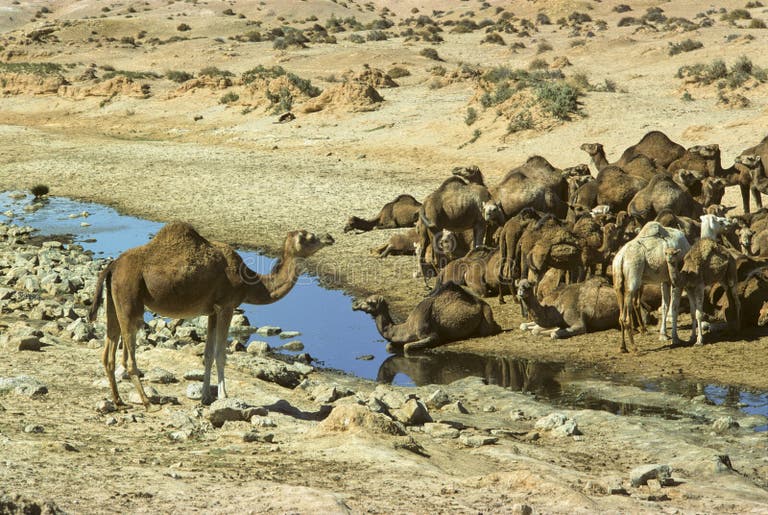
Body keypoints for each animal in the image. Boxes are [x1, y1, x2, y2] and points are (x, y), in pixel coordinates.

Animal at [89, 222, 334, 407]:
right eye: (309, 236)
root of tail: (112, 266)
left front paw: (206, 397)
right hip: (129, 301)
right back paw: (147, 402)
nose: (330, 237)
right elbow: (221, 354)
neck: (250, 283)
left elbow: (207, 354)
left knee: (108, 351)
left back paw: (119, 401)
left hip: (114, 302)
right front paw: (224, 395)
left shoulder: (211, 311)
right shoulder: (226, 306)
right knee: (128, 357)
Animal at [352, 281, 501, 353]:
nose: (354, 305)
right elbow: (389, 346)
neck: (408, 327)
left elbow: (406, 346)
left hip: (486, 312)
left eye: (370, 302)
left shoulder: (431, 334)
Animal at [612, 221, 691, 352]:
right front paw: (675, 338)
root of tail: (621, 258)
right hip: (633, 279)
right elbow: (674, 307)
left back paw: (623, 347)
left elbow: (664, 306)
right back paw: (634, 347)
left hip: (618, 283)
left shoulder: (665, 280)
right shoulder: (676, 280)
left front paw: (663, 335)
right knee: (626, 316)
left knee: (620, 316)